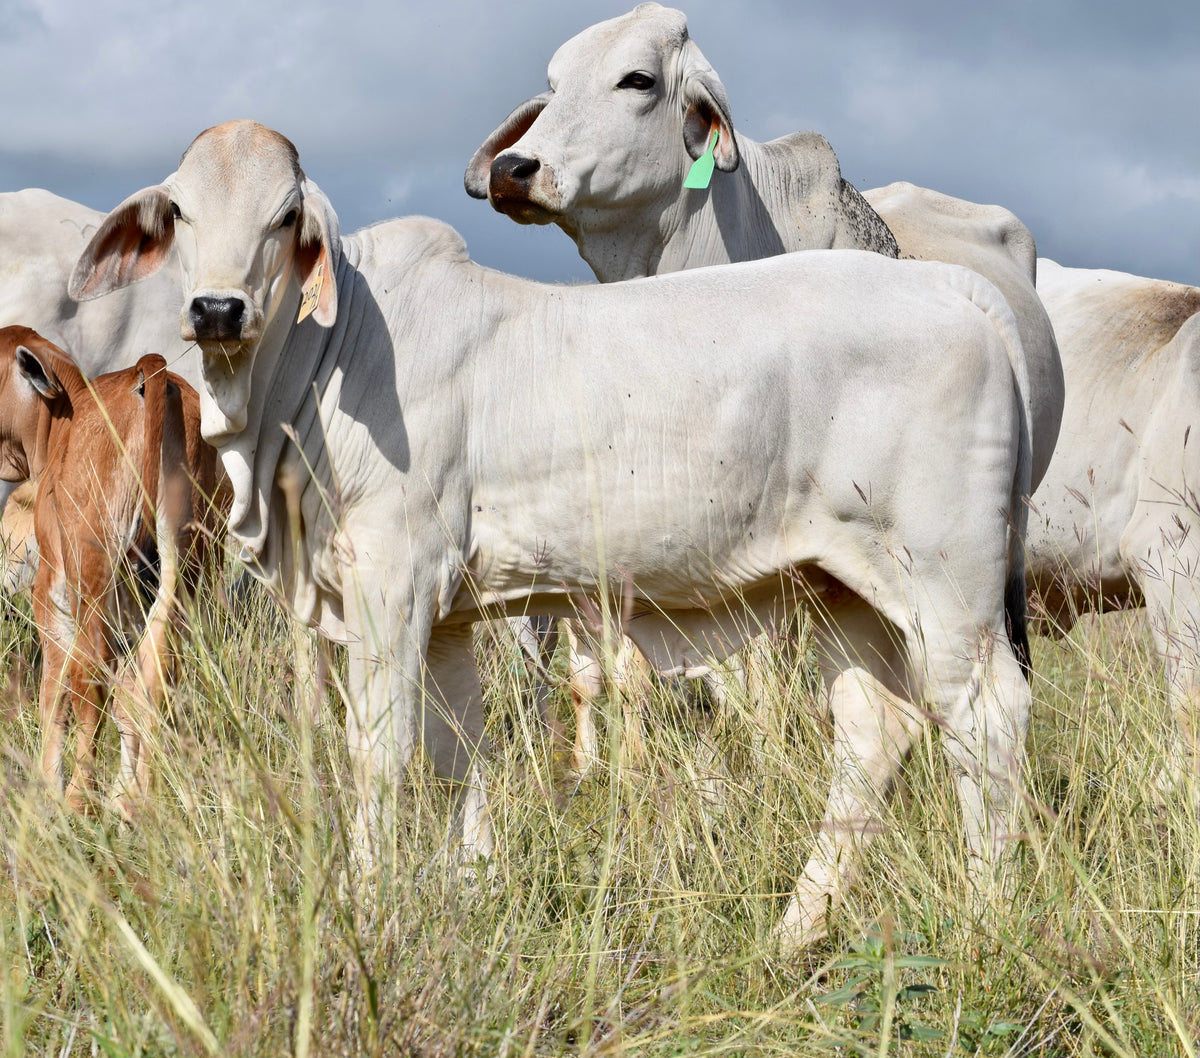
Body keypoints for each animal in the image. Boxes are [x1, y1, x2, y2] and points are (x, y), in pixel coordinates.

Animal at [0, 325, 221, 815]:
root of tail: (150, 373)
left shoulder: (51, 596)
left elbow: (55, 696)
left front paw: (49, 789)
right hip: (181, 572)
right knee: (155, 679)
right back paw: (136, 802)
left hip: (93, 574)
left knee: (94, 682)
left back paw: (82, 800)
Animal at [69, 119, 1033, 949]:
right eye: (180, 210)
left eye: (284, 217)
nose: (218, 310)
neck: (318, 371)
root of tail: (958, 291)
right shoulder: (449, 614)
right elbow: (461, 755)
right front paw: (472, 891)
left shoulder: (393, 584)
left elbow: (381, 755)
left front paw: (372, 912)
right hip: (843, 585)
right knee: (874, 732)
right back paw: (796, 931)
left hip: (949, 582)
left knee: (987, 719)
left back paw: (986, 916)